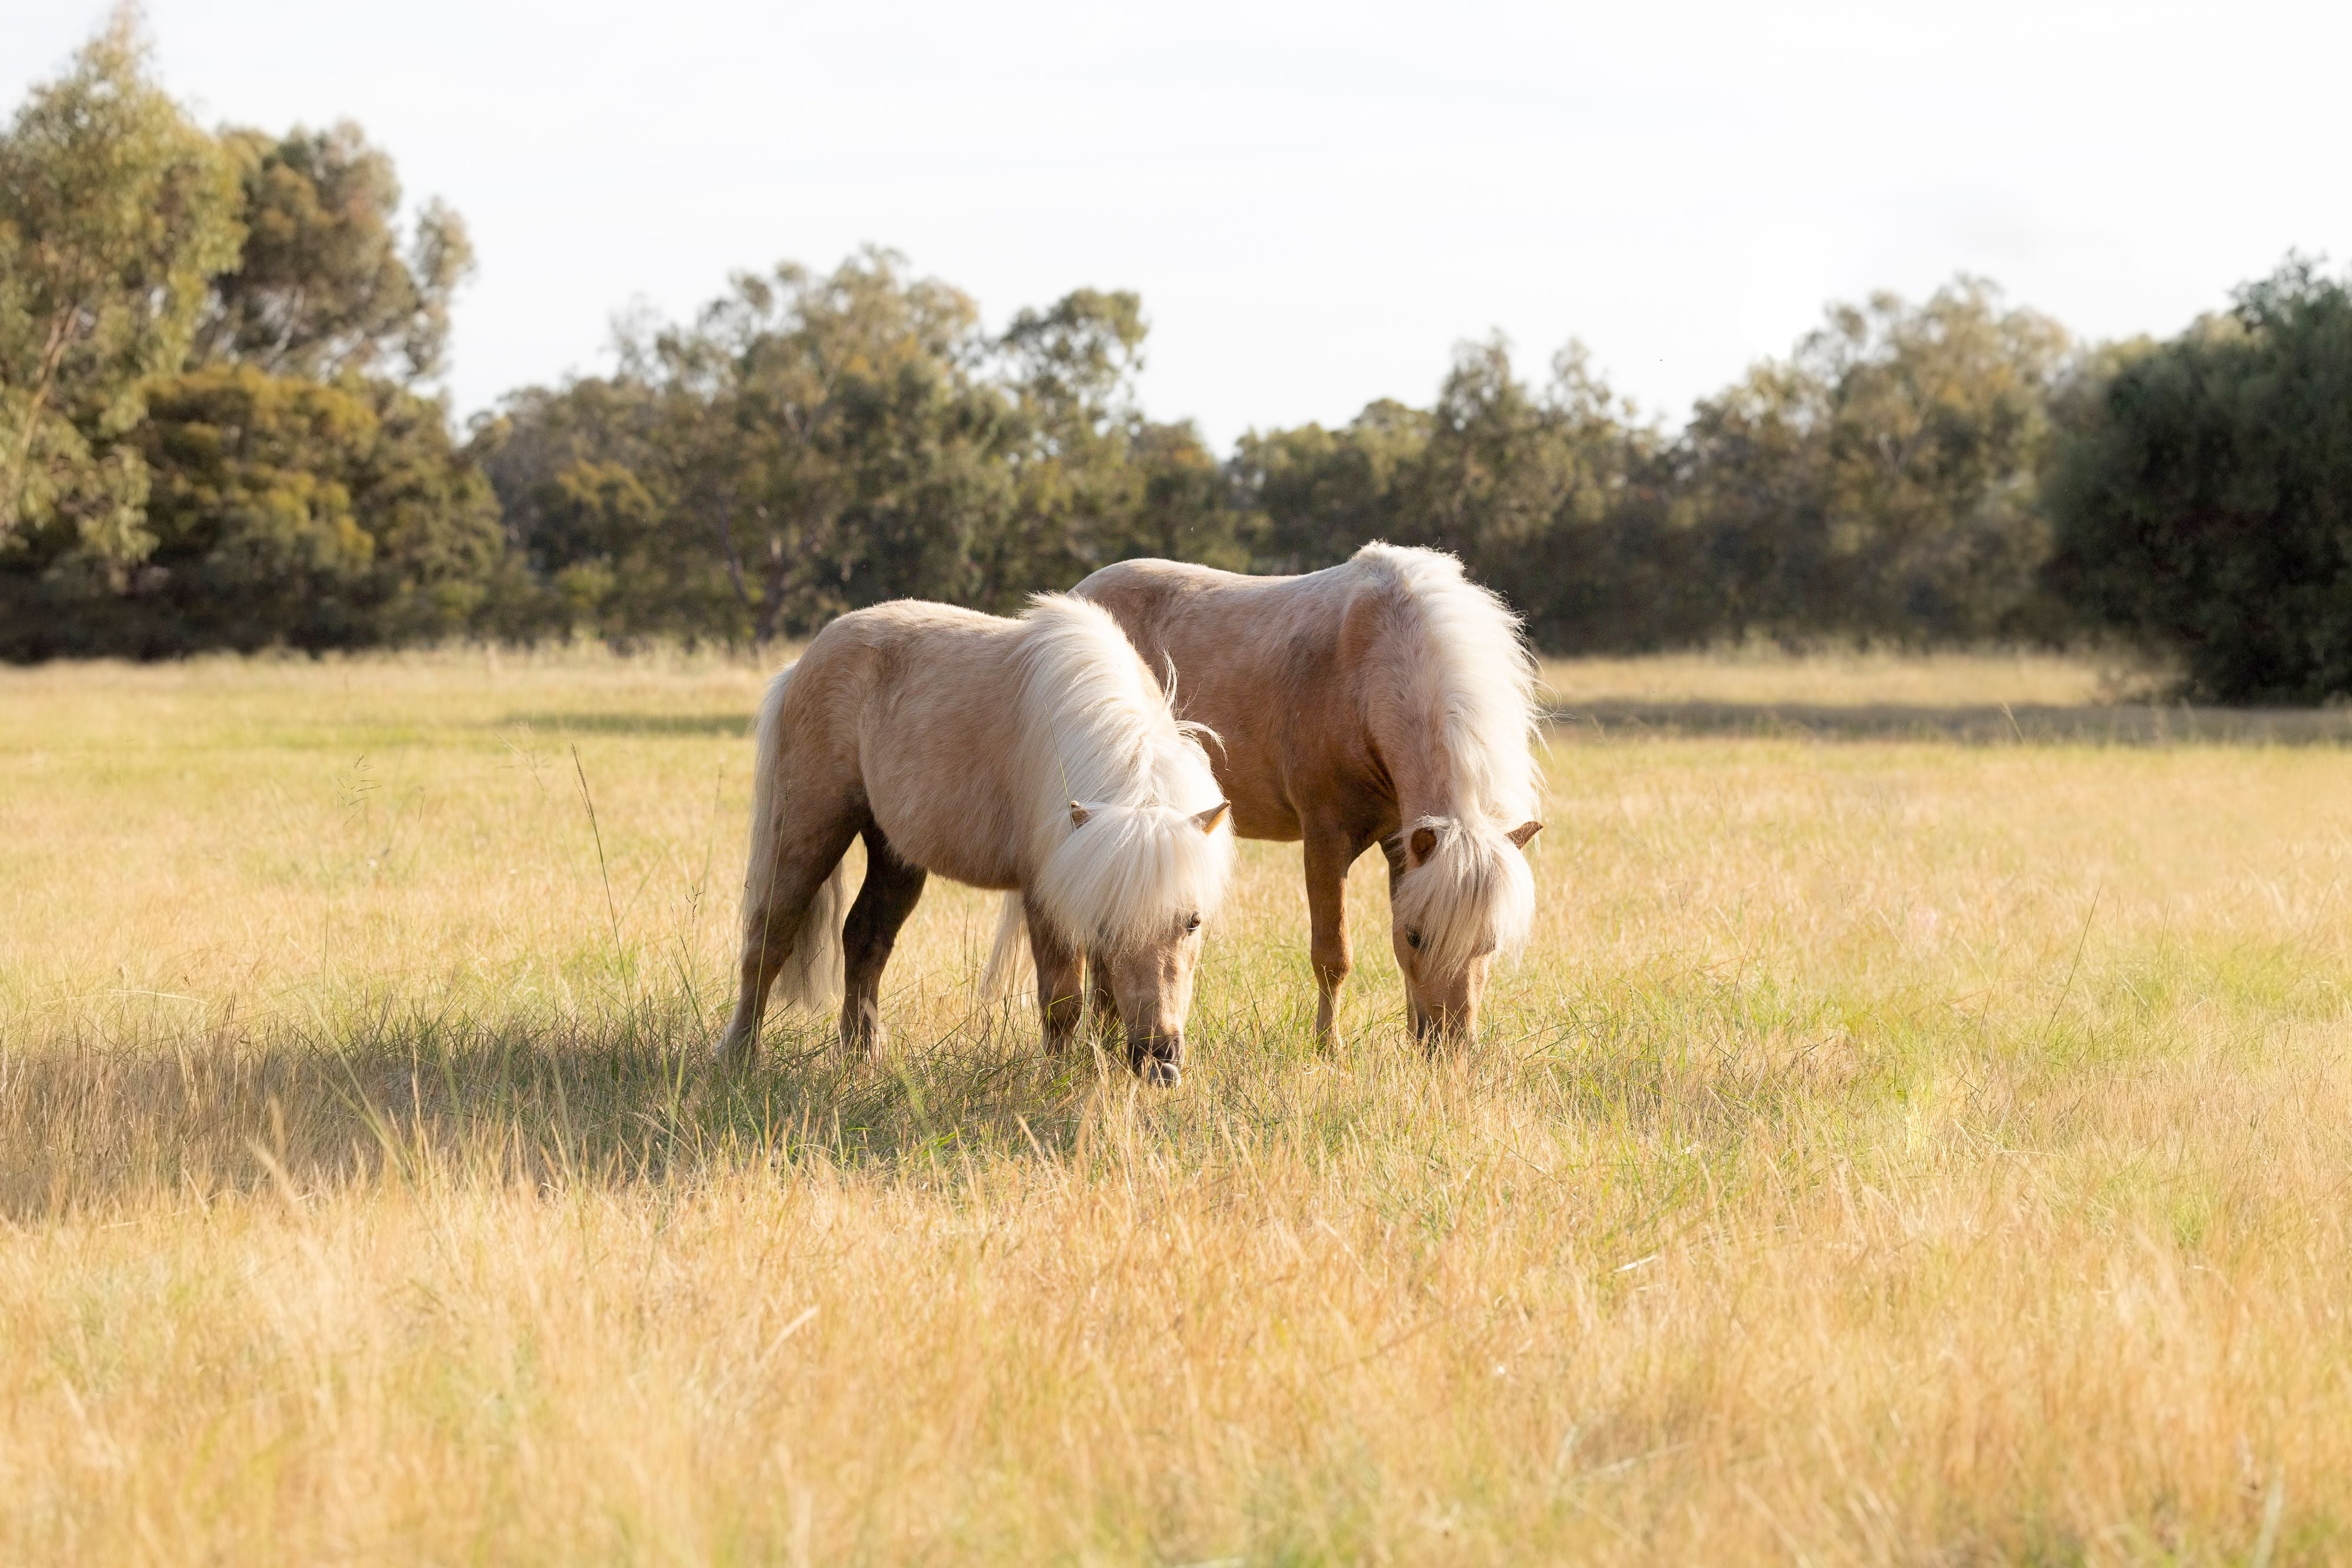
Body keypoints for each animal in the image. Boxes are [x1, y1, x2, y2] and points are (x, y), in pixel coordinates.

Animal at [716, 594, 1235, 1085]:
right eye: (1108, 926)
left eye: (1193, 922)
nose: (1160, 1060)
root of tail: (801, 663)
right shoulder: (1047, 897)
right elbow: (1063, 1001)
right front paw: (1058, 1079)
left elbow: (1105, 1001)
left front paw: (1100, 1072)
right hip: (810, 826)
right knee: (769, 937)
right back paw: (740, 1055)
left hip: (892, 852)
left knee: (865, 938)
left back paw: (861, 1057)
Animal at [1069, 543, 1542, 1044]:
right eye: (1418, 936)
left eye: (1489, 942)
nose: (1448, 1044)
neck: (1364, 668)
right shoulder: (1325, 840)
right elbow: (1333, 956)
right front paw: (1328, 1046)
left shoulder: (1402, 850)